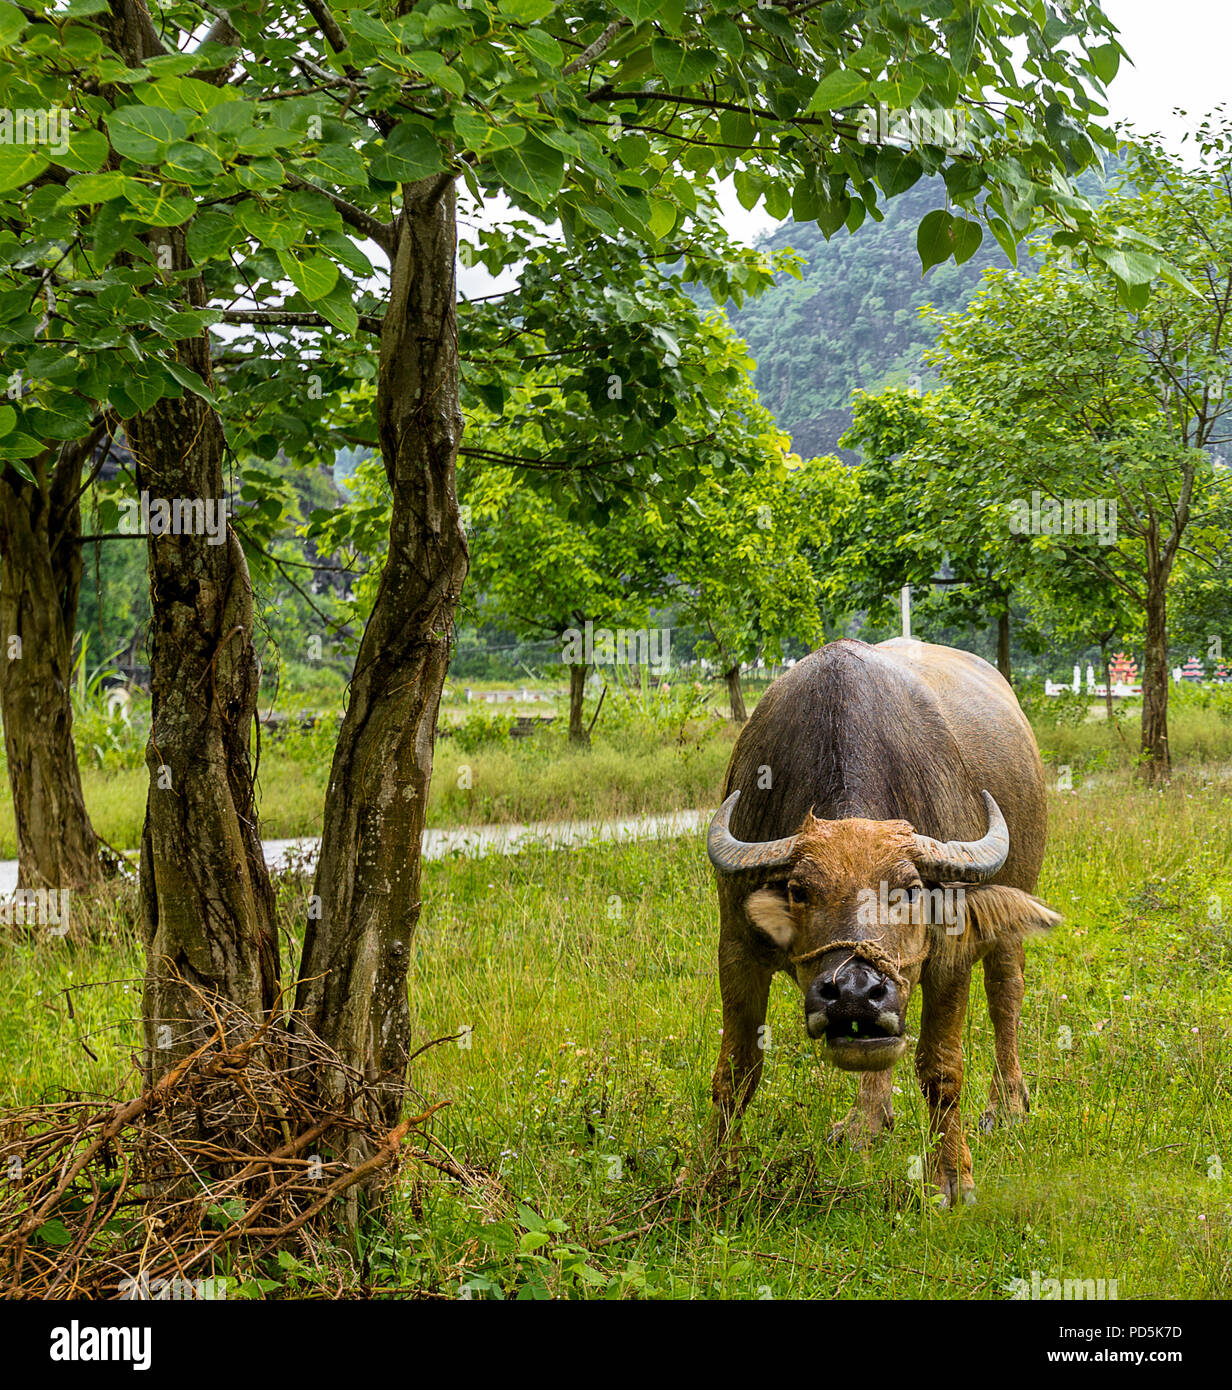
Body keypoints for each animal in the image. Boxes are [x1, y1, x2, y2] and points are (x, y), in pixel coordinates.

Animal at [703, 637, 1059, 1203]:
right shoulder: (736, 945)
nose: (853, 991)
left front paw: (952, 1177)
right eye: (799, 891)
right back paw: (865, 1122)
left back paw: (1006, 1105)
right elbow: (736, 1071)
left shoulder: (951, 955)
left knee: (1006, 993)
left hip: (1015, 900)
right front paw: (709, 1178)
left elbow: (941, 1067)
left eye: (909, 891)